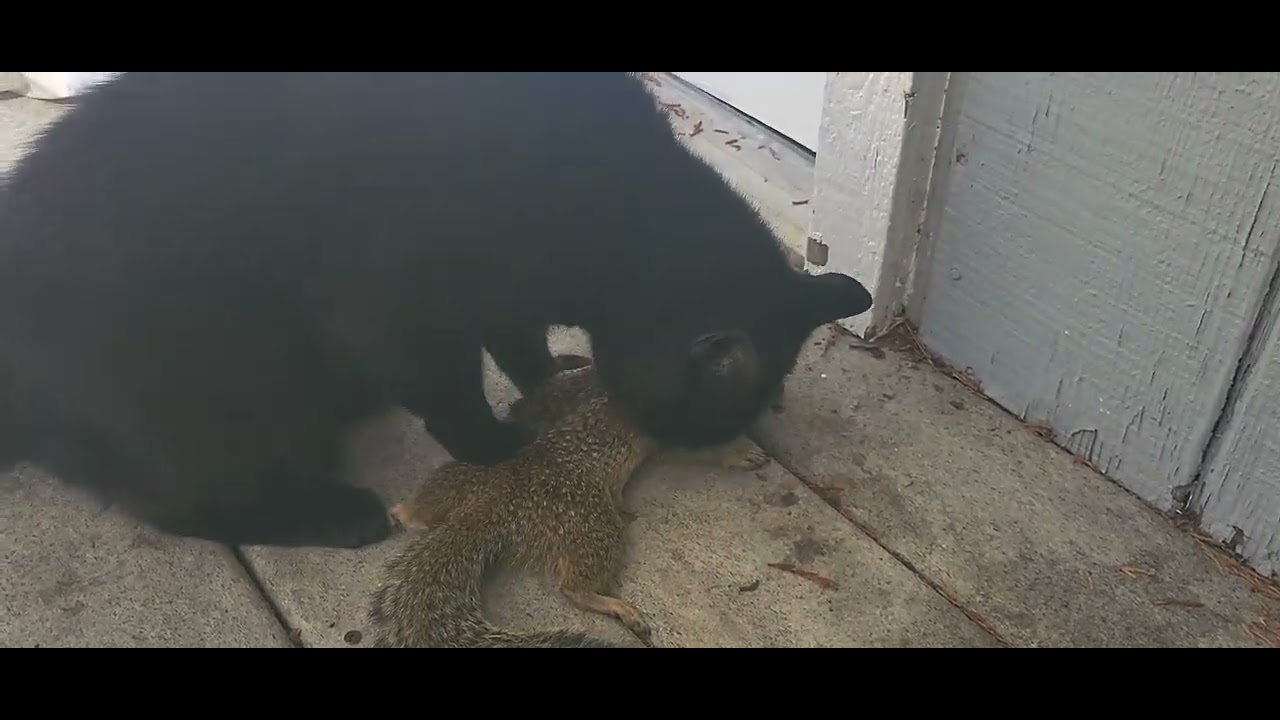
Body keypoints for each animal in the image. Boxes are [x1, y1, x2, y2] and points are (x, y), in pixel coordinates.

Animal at [367, 354, 771, 648]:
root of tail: (491, 504)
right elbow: (695, 447)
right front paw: (742, 453)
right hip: (589, 522)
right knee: (574, 587)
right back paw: (619, 607)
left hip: (459, 478)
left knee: (428, 504)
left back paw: (407, 512)